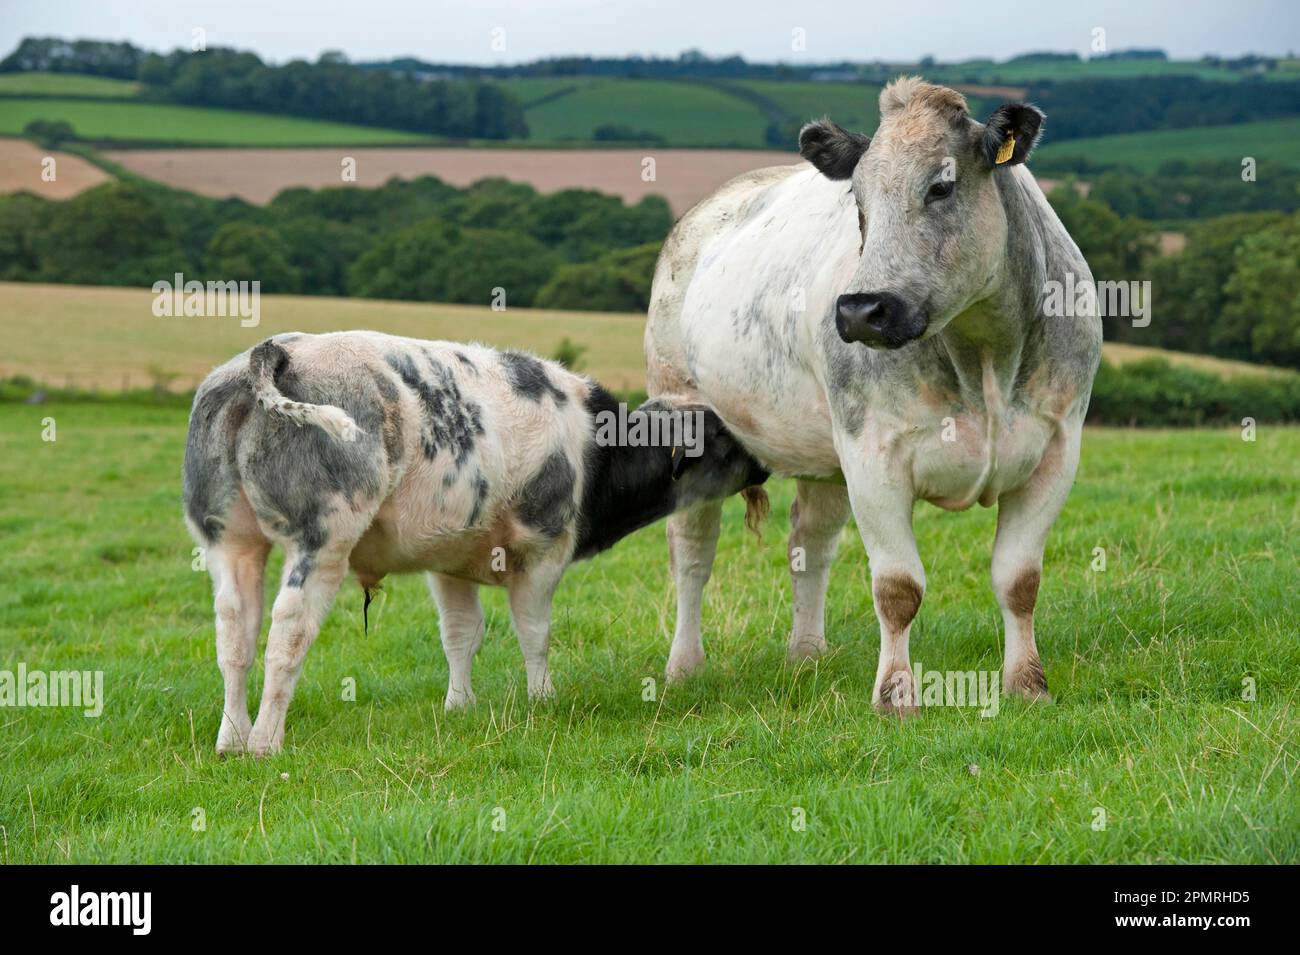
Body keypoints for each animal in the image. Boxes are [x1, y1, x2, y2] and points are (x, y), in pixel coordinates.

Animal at [183, 331, 768, 755]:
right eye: (721, 434)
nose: (763, 462)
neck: (597, 453)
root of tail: (274, 352)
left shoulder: (446, 560)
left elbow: (460, 635)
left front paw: (458, 706)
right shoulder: (543, 549)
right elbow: (534, 632)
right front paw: (542, 699)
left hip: (229, 543)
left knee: (234, 633)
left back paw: (231, 740)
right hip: (321, 541)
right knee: (288, 631)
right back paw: (264, 742)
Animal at [644, 77, 1102, 712]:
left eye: (941, 186)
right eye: (858, 202)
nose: (862, 309)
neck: (983, 357)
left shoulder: (1057, 448)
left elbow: (1019, 581)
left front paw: (1028, 686)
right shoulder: (873, 457)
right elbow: (897, 587)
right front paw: (894, 696)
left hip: (824, 447)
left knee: (810, 540)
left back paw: (806, 655)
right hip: (685, 418)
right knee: (691, 550)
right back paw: (684, 668)